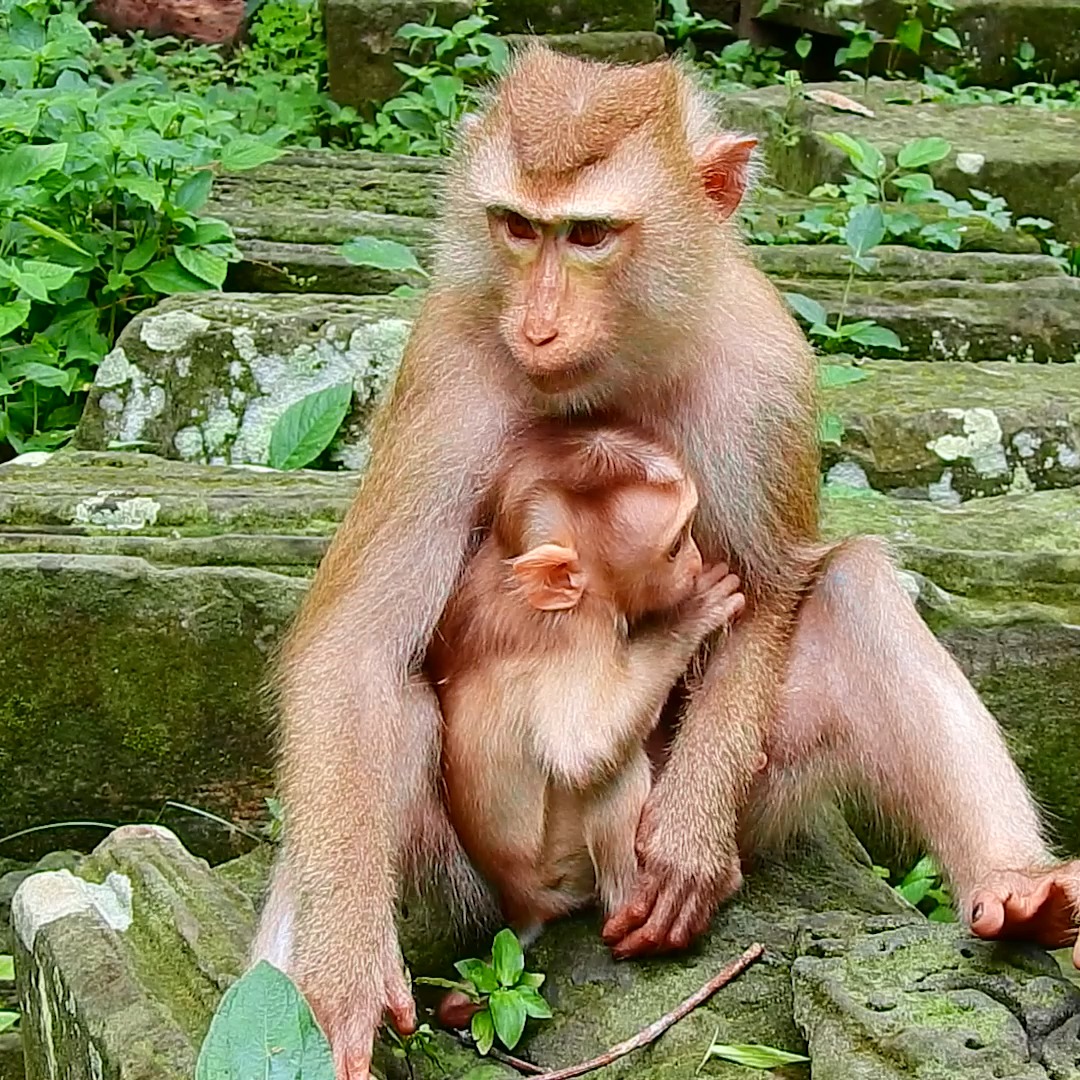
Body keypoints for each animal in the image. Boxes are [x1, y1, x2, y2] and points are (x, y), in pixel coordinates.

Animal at [428, 423, 745, 943]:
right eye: (676, 546)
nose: (696, 562)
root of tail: (522, 905)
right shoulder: (582, 632)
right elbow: (581, 748)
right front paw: (689, 617)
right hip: (563, 866)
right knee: (610, 771)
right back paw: (632, 897)